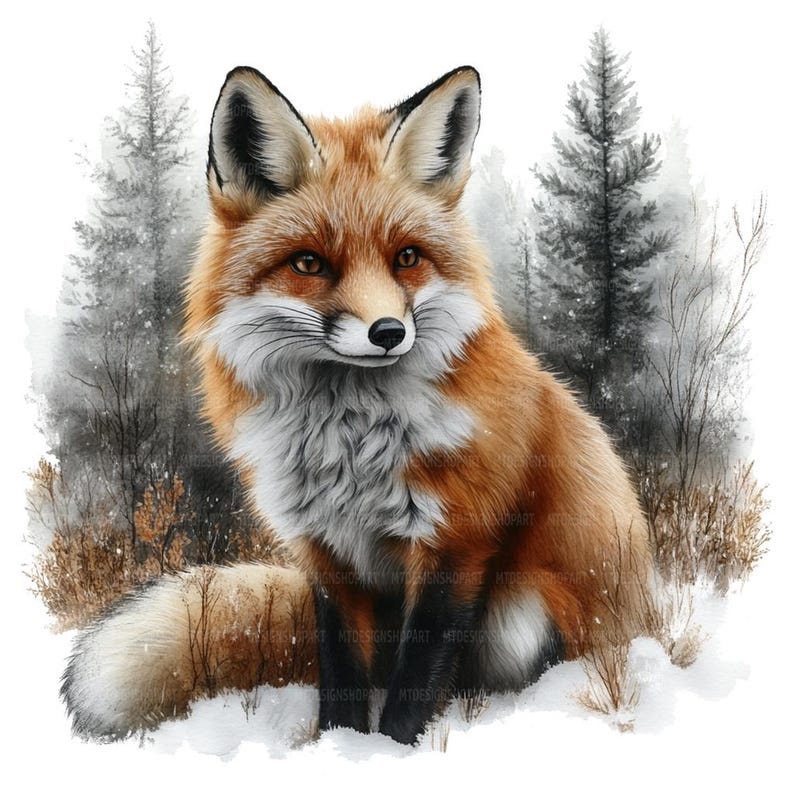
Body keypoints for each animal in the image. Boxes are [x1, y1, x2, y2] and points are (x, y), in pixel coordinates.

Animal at [62, 65, 653, 746]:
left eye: (407, 258)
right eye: (309, 263)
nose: (389, 332)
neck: (348, 444)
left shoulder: (455, 545)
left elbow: (414, 687)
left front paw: (390, 754)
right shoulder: (325, 554)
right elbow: (341, 675)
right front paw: (338, 747)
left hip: (522, 615)